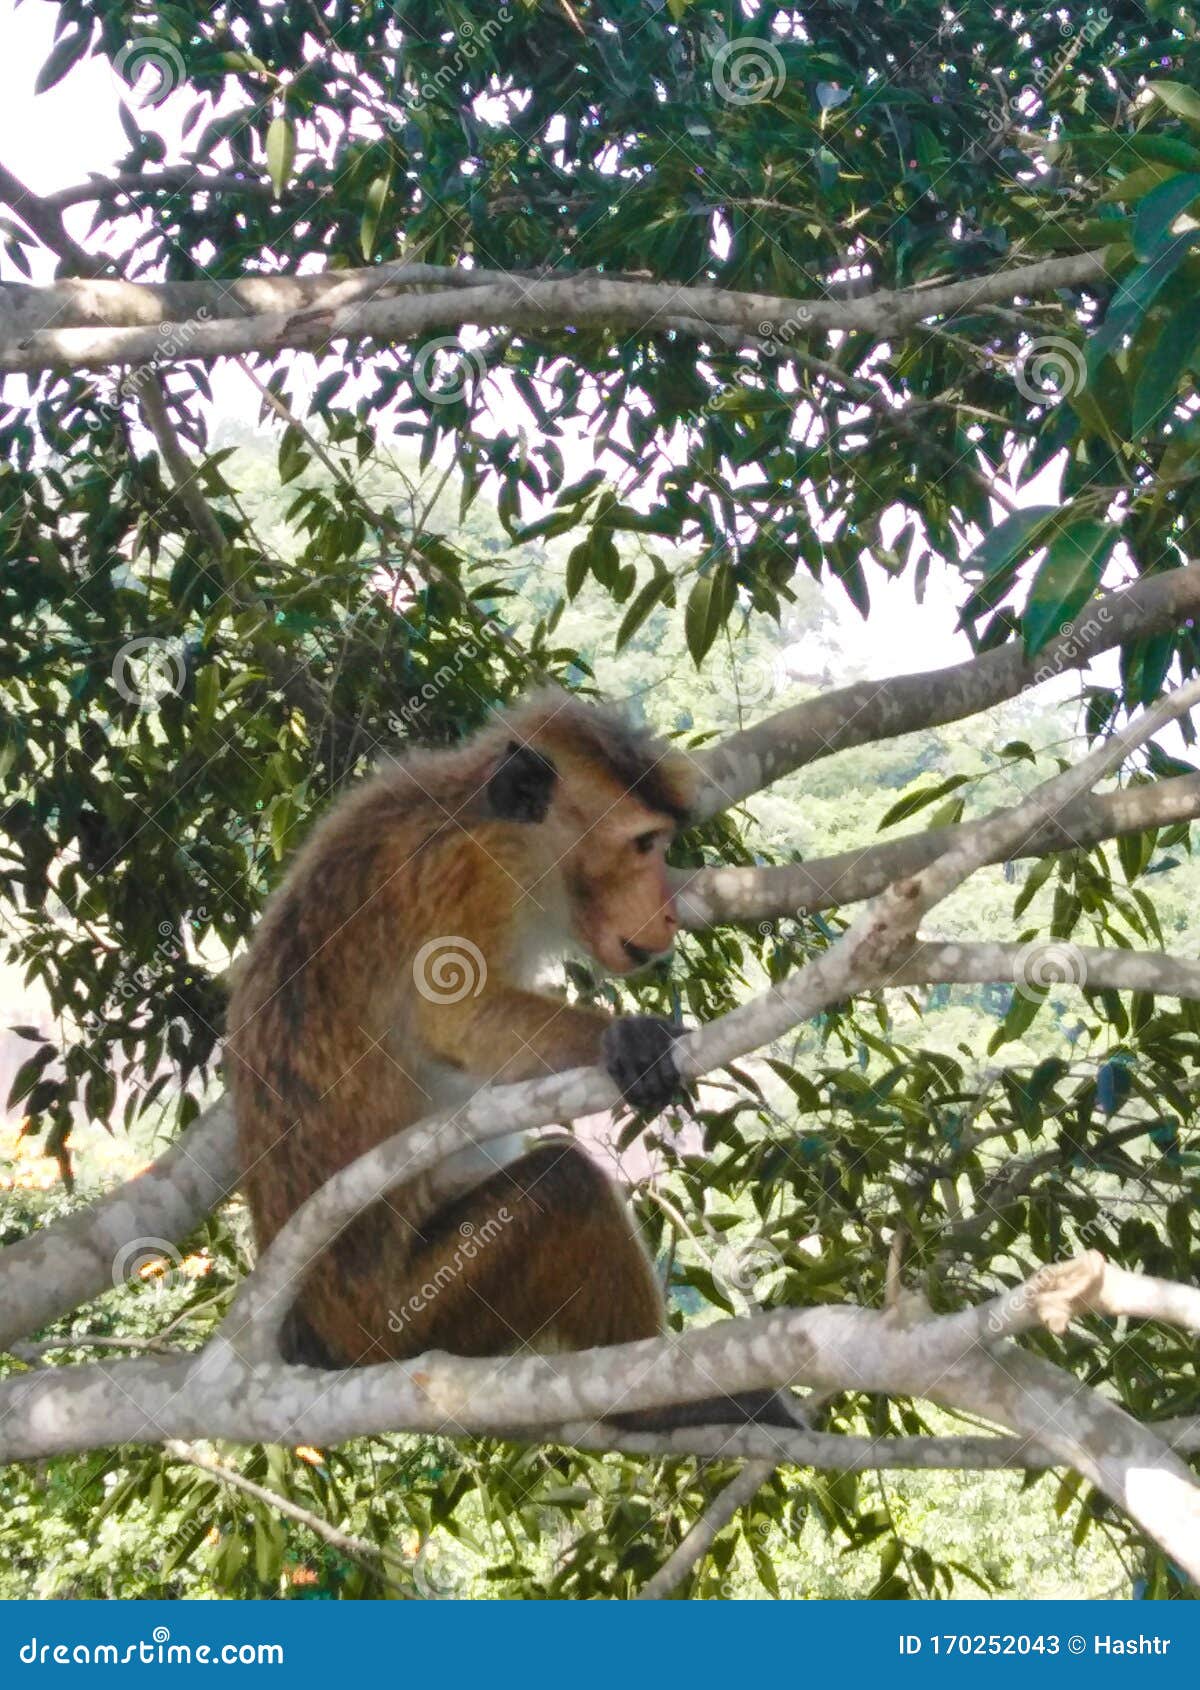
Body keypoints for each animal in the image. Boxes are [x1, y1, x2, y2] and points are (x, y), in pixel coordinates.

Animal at [225, 689, 798, 1430]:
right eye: (644, 844)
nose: (671, 913)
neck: (473, 807)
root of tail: (324, 1338)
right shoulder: (478, 867)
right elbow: (455, 1019)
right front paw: (625, 1042)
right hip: (412, 1318)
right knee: (564, 1181)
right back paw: (654, 1408)